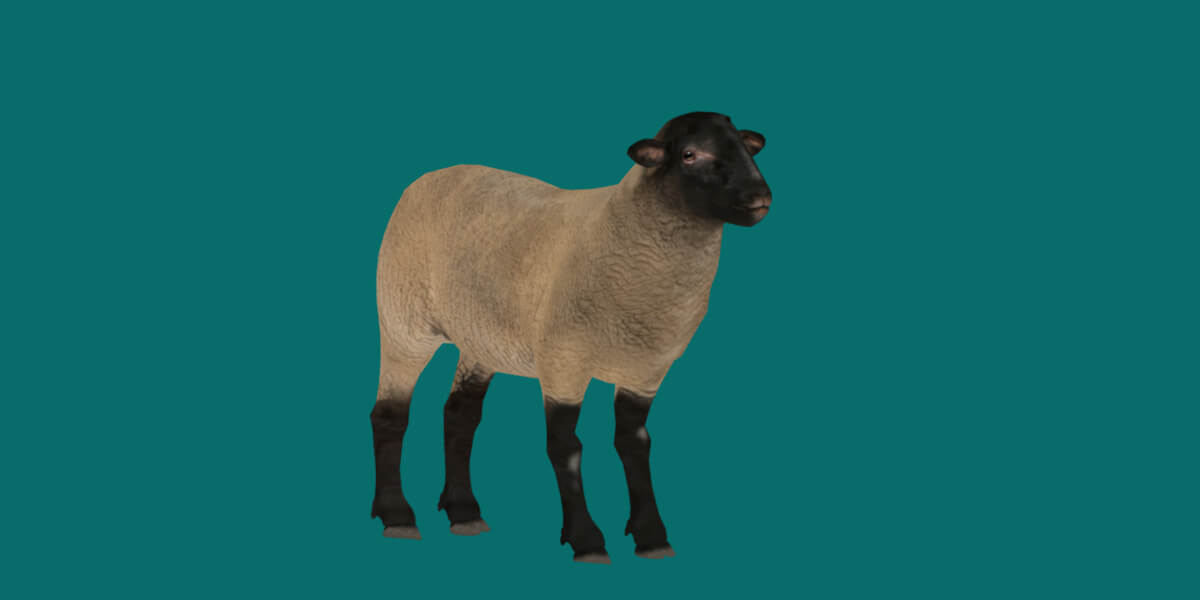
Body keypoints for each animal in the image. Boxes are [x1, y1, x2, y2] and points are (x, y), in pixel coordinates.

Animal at [372, 111, 772, 563]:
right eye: (689, 154)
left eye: (745, 146)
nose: (760, 196)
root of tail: (429, 175)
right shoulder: (563, 360)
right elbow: (566, 447)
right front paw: (587, 539)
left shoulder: (646, 369)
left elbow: (634, 443)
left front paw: (651, 535)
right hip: (404, 322)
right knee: (389, 414)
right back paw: (398, 516)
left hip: (481, 338)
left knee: (459, 414)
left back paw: (464, 512)